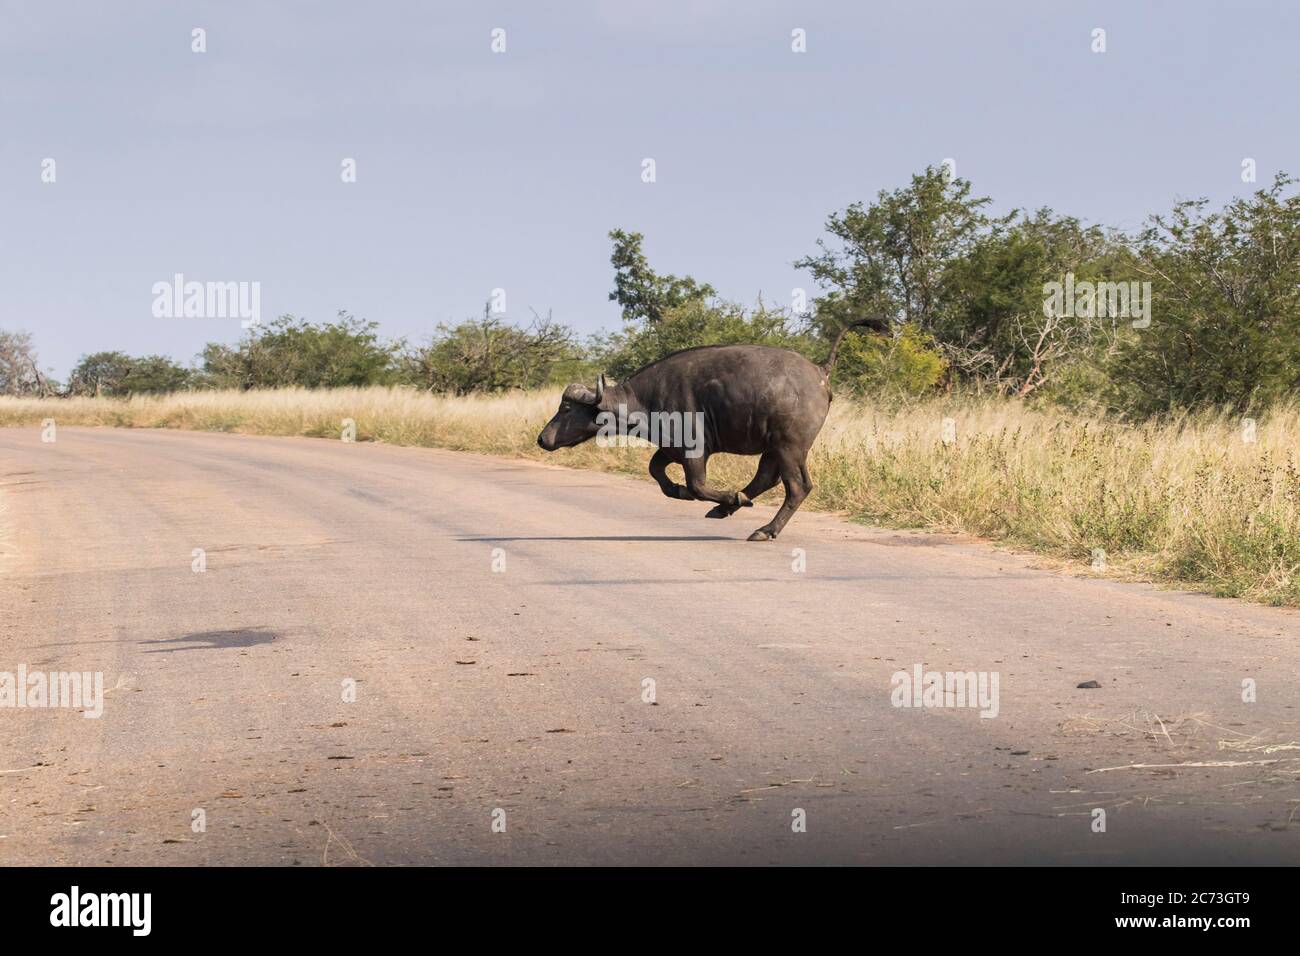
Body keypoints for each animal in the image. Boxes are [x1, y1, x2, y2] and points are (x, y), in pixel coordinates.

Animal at [537, 317, 888, 540]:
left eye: (566, 408)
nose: (542, 439)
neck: (645, 399)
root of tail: (820, 371)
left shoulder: (695, 451)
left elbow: (697, 486)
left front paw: (722, 496)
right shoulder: (670, 449)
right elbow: (658, 474)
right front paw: (686, 492)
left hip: (791, 447)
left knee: (798, 487)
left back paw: (762, 528)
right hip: (774, 447)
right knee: (767, 478)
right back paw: (727, 508)